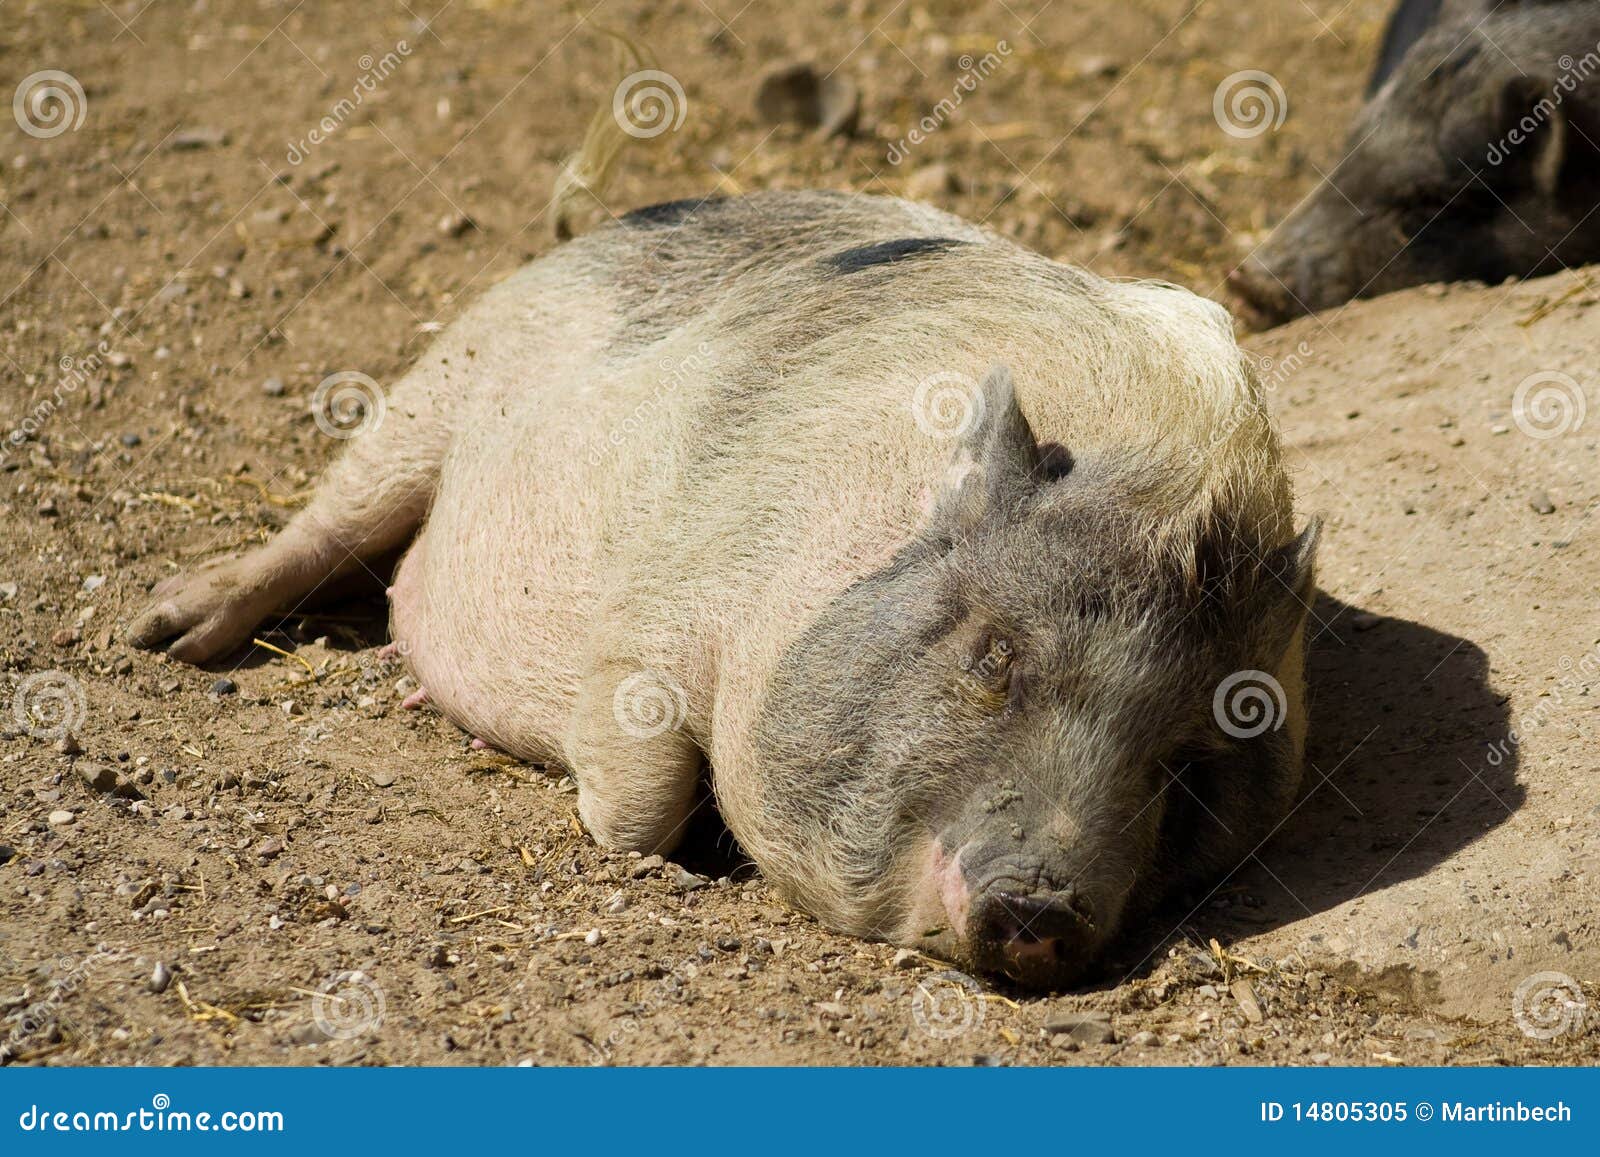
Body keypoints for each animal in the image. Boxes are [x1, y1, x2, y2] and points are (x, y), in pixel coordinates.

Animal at [128, 191, 1318, 988]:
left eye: (1189, 767)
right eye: (995, 655)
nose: (1043, 903)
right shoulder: (659, 605)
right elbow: (640, 802)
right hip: (447, 376)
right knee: (331, 518)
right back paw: (162, 634)